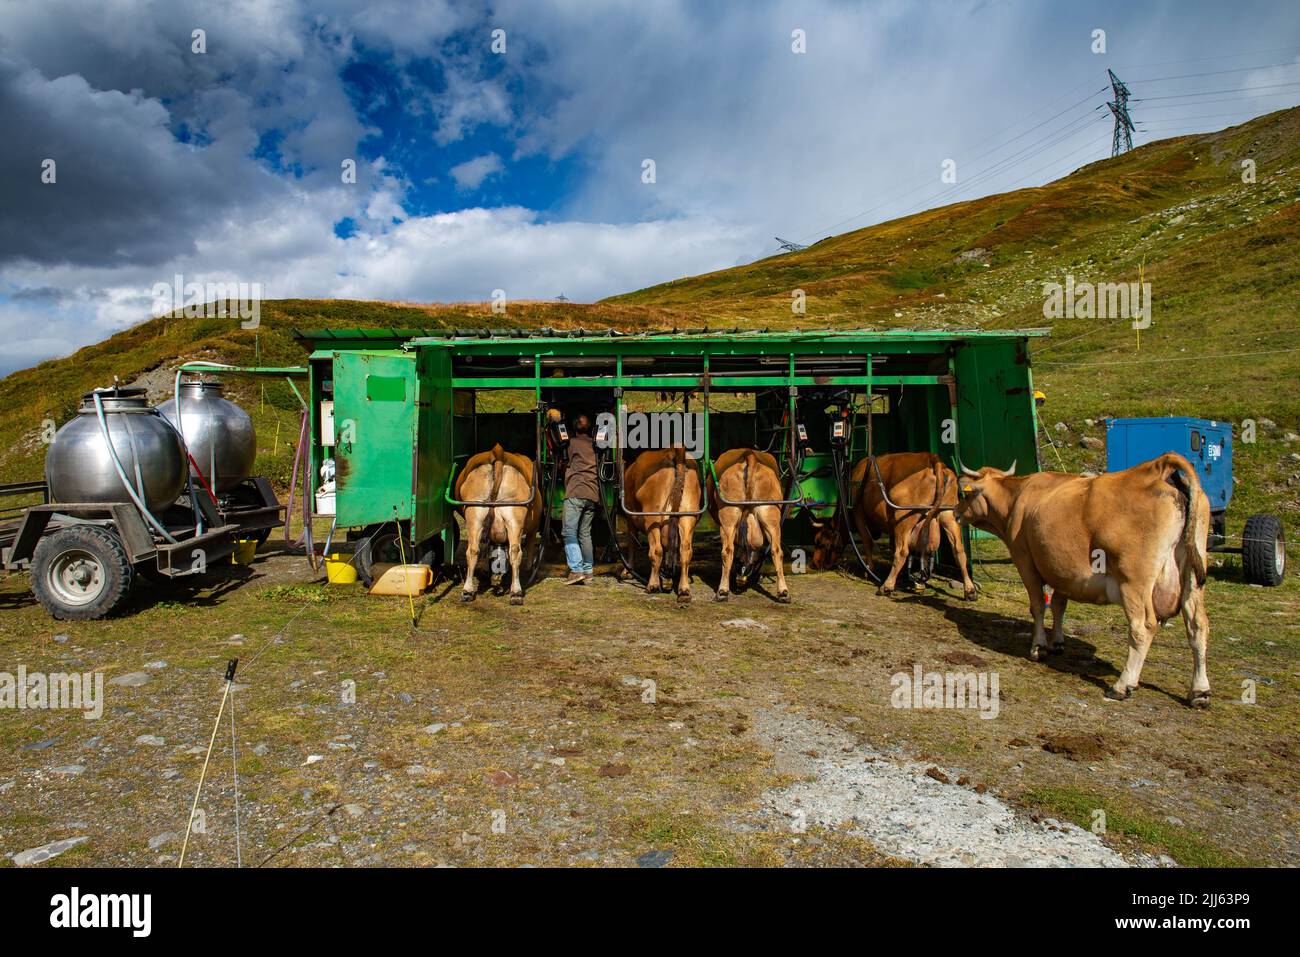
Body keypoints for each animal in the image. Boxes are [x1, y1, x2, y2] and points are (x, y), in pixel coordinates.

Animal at [454, 443, 543, 605]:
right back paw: (516, 592)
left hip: (475, 513)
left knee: (473, 550)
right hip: (514, 515)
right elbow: (528, 547)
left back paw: (467, 591)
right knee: (515, 551)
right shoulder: (534, 528)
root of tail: (498, 452)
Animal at [623, 446, 702, 603]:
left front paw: (628, 570)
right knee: (685, 550)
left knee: (656, 550)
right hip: (687, 514)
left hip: (652, 515)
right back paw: (684, 591)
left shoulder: (630, 518)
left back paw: (652, 585)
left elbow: (632, 543)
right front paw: (667, 579)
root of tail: (673, 450)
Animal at [706, 448, 790, 602]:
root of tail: (749, 454)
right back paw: (783, 592)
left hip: (728, 517)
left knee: (728, 550)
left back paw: (722, 591)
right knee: (776, 550)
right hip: (771, 515)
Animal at [811, 452, 977, 600]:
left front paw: (868, 570)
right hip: (949, 514)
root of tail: (933, 459)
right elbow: (891, 546)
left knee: (902, 551)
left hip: (904, 518)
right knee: (959, 550)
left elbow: (868, 542)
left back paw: (887, 586)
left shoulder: (859, 515)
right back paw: (969, 590)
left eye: (819, 541)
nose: (814, 564)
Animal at [952, 454, 1211, 706]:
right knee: (1198, 625)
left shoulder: (1025, 560)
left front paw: (1038, 646)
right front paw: (1057, 642)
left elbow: (1038, 606)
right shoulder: (1063, 570)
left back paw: (1122, 685)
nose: (955, 512)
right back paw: (1199, 691)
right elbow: (1058, 605)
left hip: (1133, 583)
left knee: (1142, 627)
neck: (1016, 497)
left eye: (966, 494)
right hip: (1192, 579)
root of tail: (1158, 468)